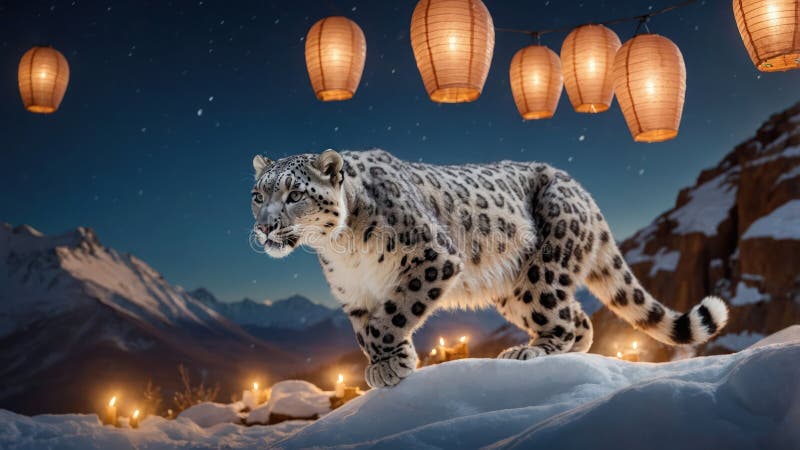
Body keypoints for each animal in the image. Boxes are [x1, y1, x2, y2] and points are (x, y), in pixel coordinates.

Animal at [250, 149, 729, 388]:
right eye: (258, 195)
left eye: (295, 194)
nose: (265, 226)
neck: (341, 248)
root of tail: (582, 191)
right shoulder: (355, 297)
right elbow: (369, 331)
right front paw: (392, 362)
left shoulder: (433, 257)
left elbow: (391, 318)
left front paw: (392, 362)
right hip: (514, 290)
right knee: (580, 319)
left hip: (540, 275)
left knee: (564, 320)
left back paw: (528, 352)